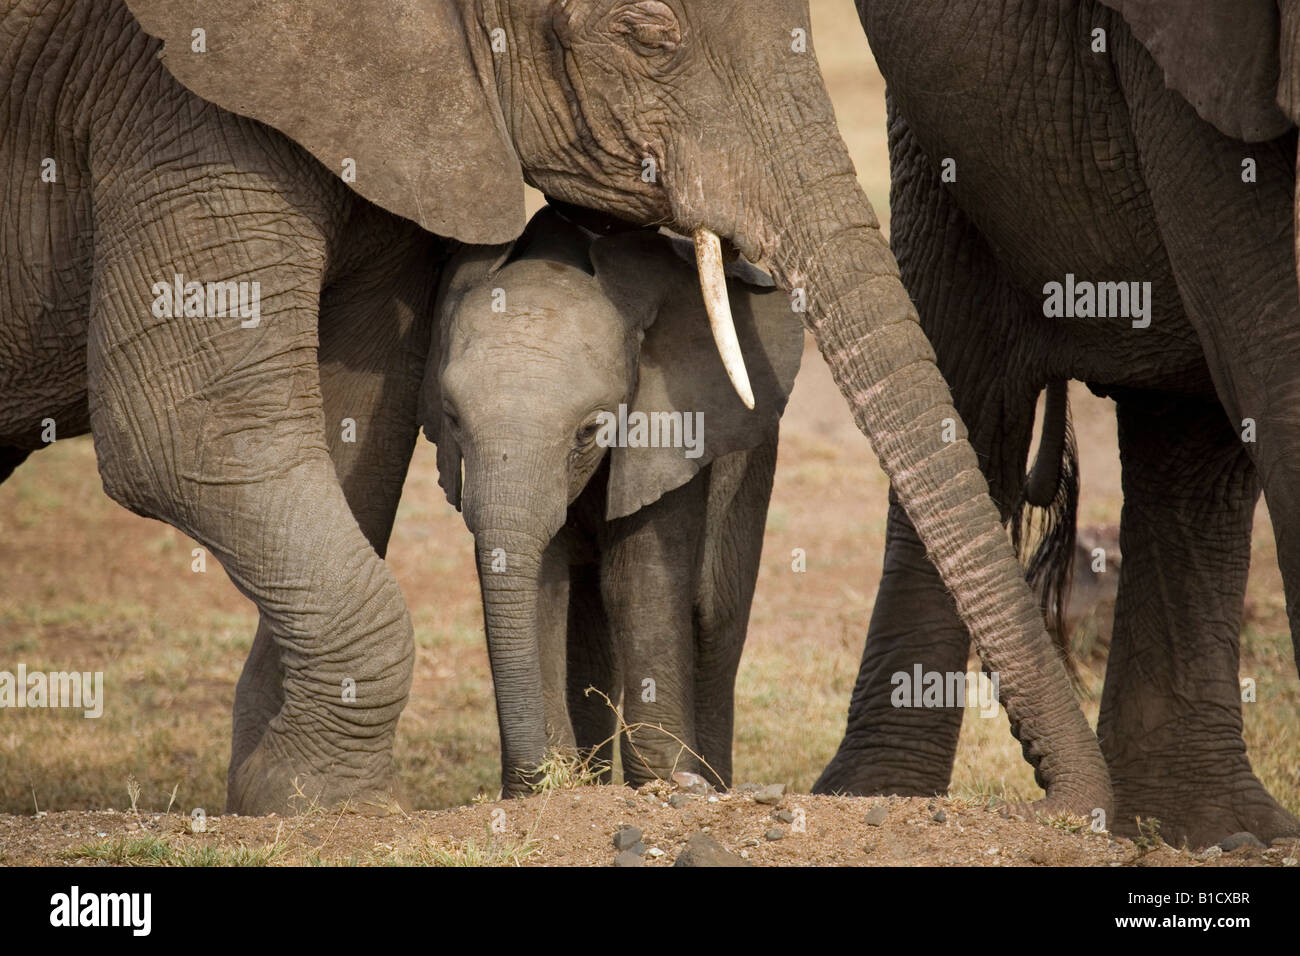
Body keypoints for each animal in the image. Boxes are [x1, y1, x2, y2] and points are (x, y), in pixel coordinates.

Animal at [423, 204, 801, 792]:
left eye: (589, 431)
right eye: (453, 419)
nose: (536, 772)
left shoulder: (672, 429)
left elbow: (638, 580)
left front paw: (666, 782)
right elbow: (545, 582)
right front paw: (553, 782)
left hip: (754, 456)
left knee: (716, 612)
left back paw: (713, 782)